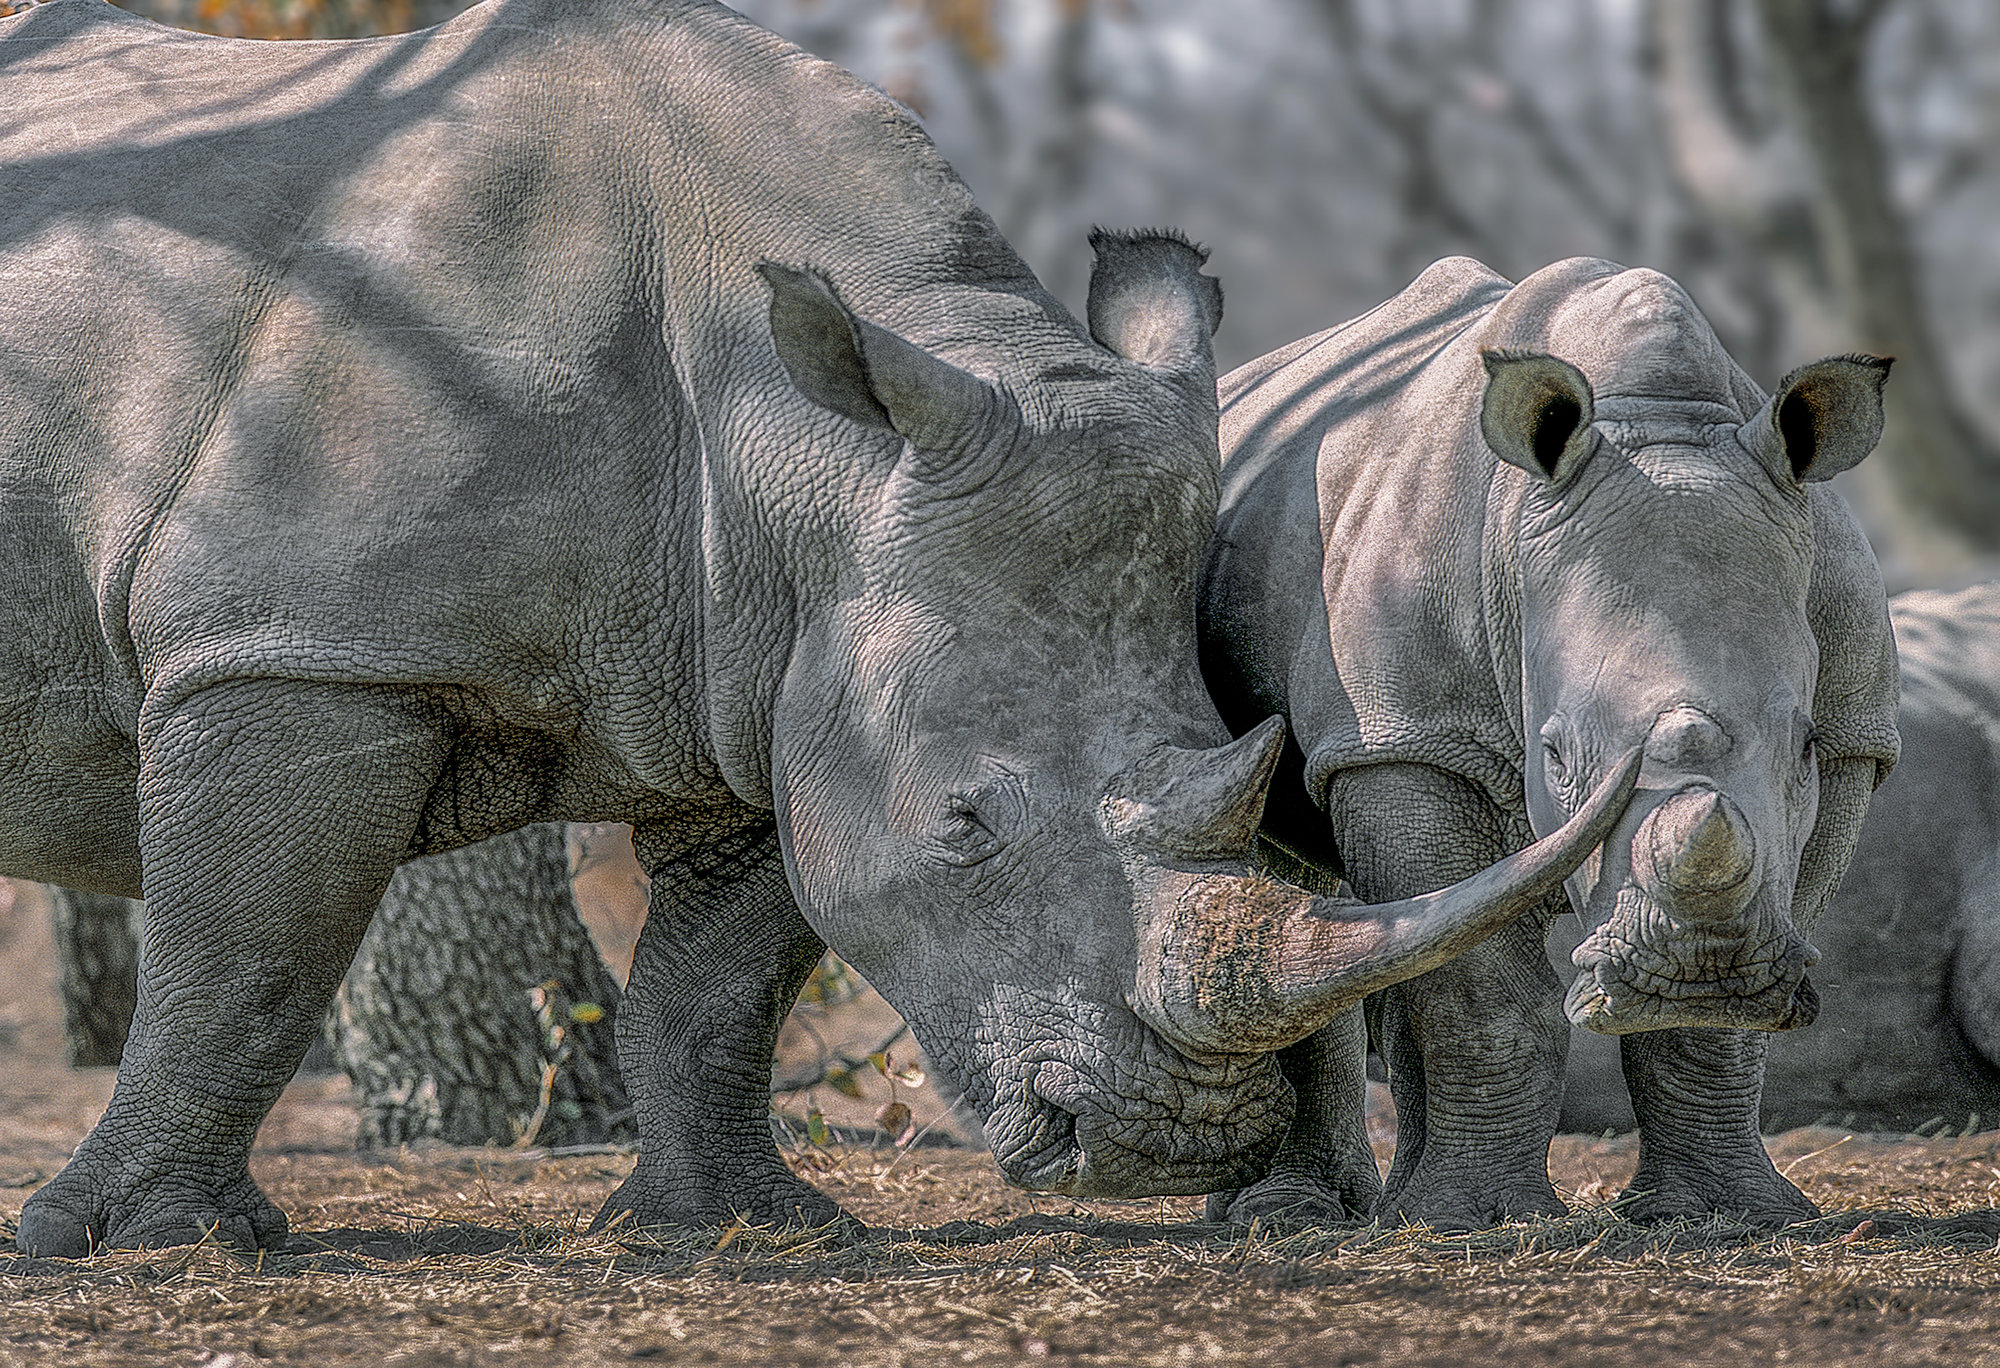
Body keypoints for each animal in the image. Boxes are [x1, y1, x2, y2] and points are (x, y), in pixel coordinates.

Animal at [0, 2, 1638, 1256]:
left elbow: (720, 985)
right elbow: (247, 960)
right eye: (966, 823)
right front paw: (135, 1246)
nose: (1171, 1147)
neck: (795, 442)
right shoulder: (296, 649)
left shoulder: (771, 674)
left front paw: (735, 1231)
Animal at [1199, 257, 1900, 1229]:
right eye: (1557, 756)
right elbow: (1477, 988)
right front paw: (1479, 1222)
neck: (1660, 427)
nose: (1700, 970)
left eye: (1800, 748)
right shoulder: (1409, 734)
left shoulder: (1852, 738)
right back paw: (1300, 1216)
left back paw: (1380, 1205)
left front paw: (1727, 1217)